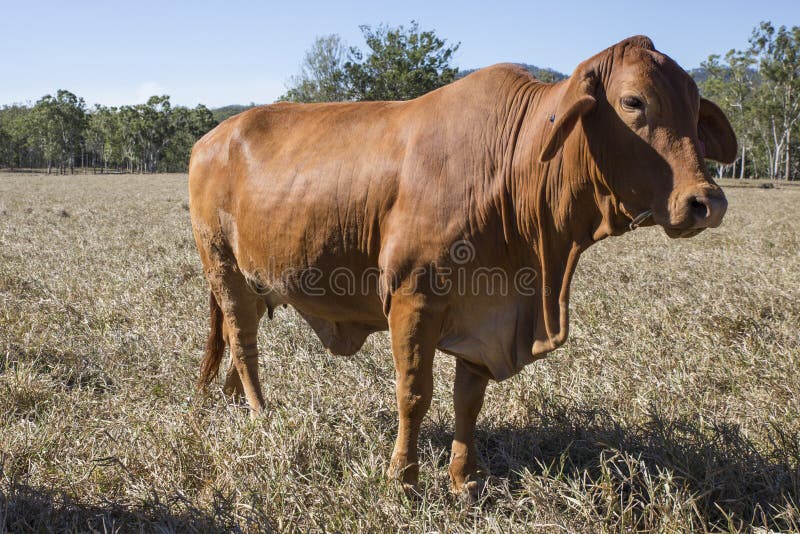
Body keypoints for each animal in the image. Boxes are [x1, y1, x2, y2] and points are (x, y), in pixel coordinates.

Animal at [188, 35, 736, 498]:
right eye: (633, 102)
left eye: (694, 109)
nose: (707, 202)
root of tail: (210, 137)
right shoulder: (412, 302)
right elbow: (414, 394)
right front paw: (404, 479)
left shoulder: (486, 315)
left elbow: (467, 402)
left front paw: (463, 482)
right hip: (225, 271)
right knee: (242, 340)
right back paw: (260, 413)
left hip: (255, 283)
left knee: (238, 341)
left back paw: (237, 404)